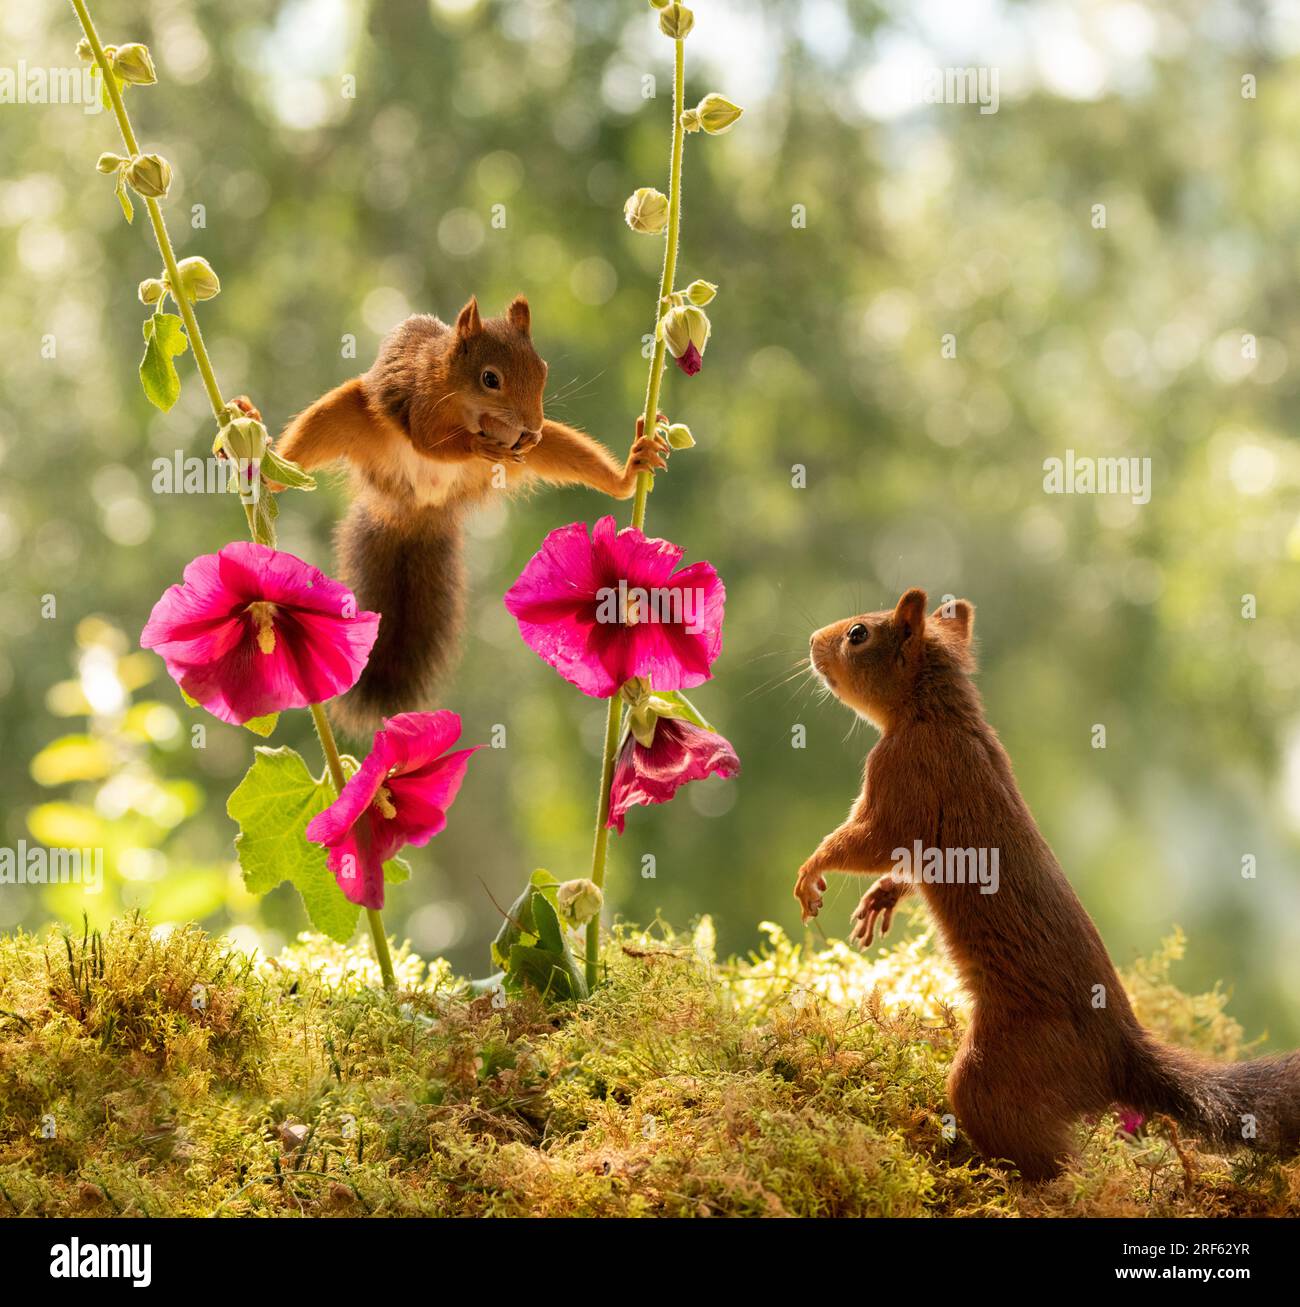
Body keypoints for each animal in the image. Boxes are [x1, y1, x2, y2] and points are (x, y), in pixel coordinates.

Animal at [236, 295, 668, 736]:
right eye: (490, 379)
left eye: (542, 369)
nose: (531, 426)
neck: (460, 400)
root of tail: (417, 510)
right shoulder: (420, 404)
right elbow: (430, 443)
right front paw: (477, 446)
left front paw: (520, 439)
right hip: (338, 416)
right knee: (296, 455)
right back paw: (255, 450)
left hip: (553, 445)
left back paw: (629, 473)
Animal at [795, 587, 1300, 1181]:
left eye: (858, 635)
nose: (812, 641)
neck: (935, 714)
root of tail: (1119, 1055)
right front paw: (883, 896)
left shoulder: (906, 778)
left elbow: (871, 840)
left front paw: (812, 869)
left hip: (1011, 1062)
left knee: (1046, 1152)